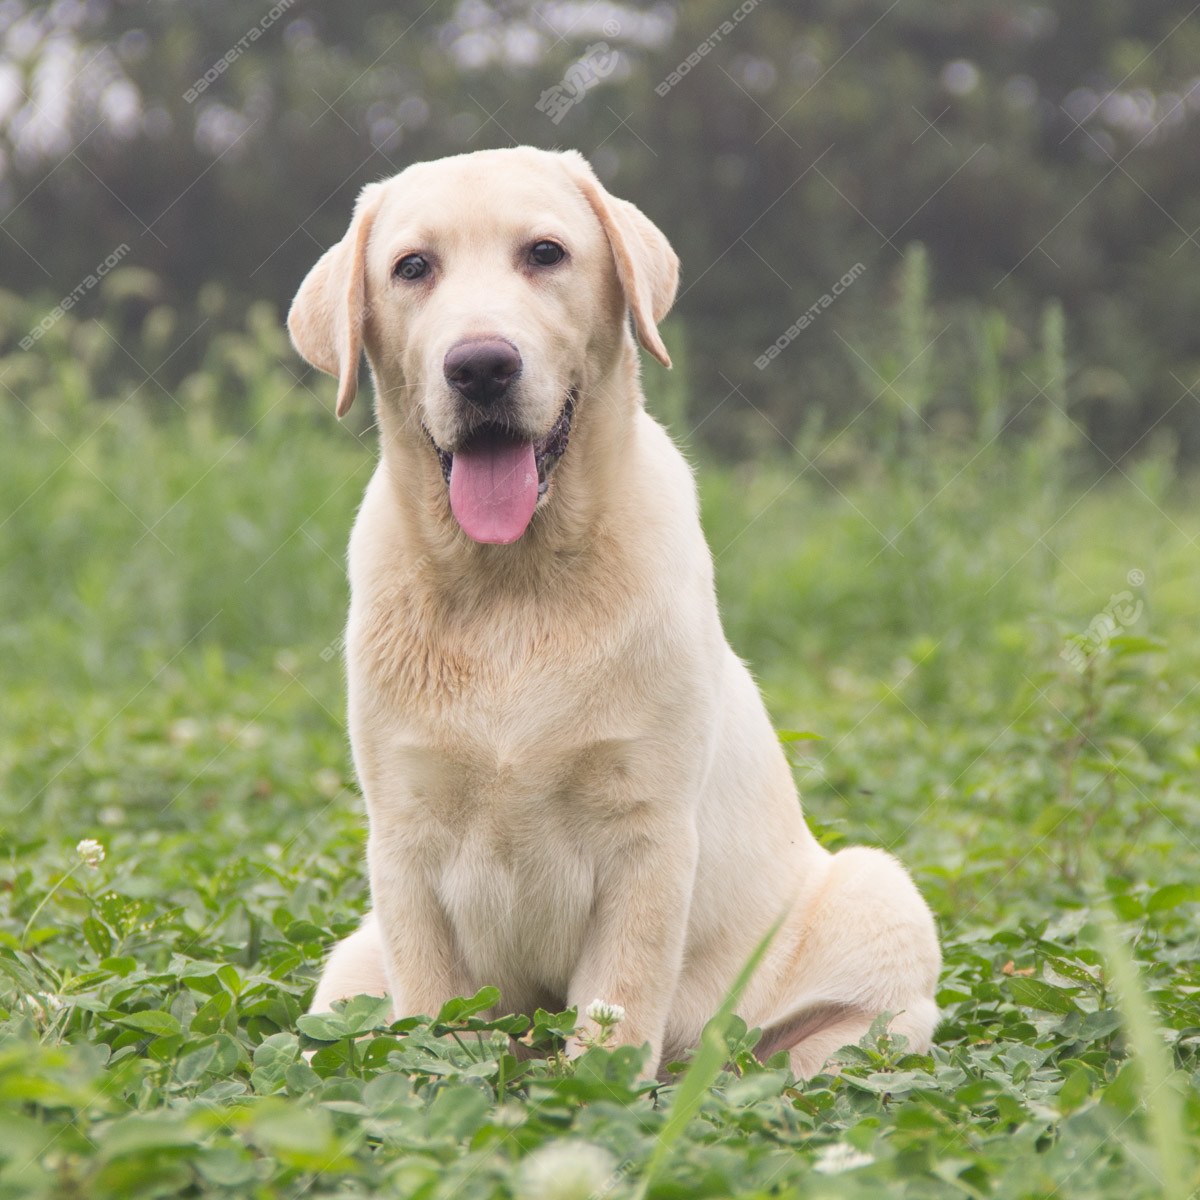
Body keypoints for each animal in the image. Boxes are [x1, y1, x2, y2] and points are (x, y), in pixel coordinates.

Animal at [285, 145, 940, 1075]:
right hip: (352, 959)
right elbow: (431, 1014)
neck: (513, 586)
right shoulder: (403, 837)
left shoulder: (648, 832)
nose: (480, 366)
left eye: (545, 253)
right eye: (412, 268)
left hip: (880, 900)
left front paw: (594, 1091)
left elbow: (617, 1010)